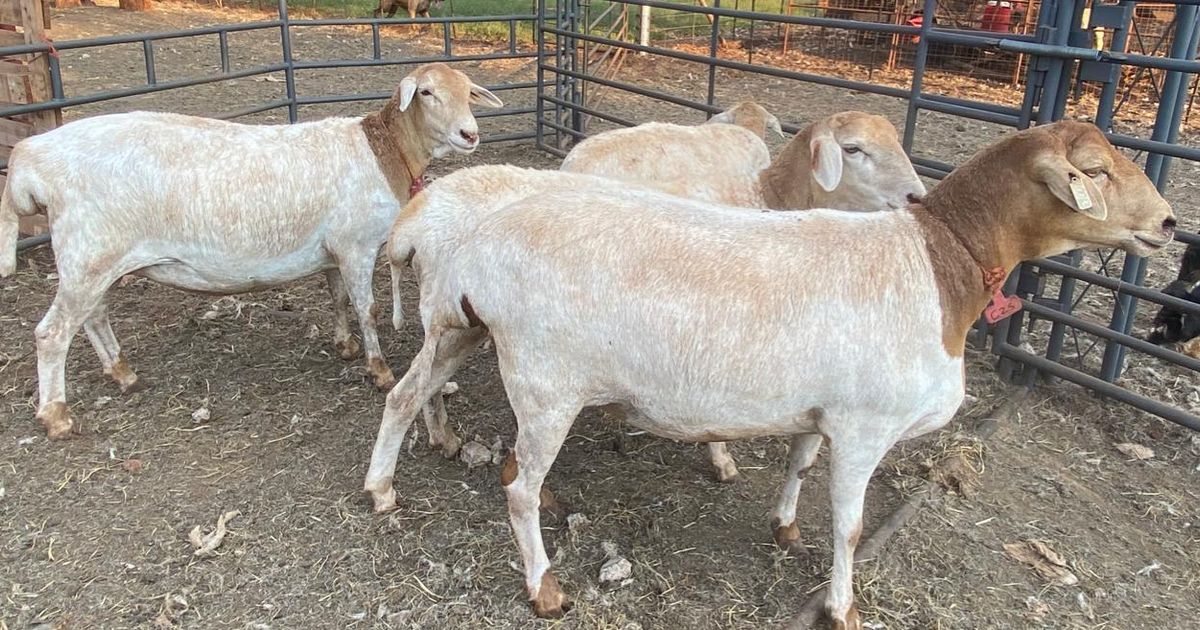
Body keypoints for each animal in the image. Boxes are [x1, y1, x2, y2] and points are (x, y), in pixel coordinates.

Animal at [0, 62, 503, 440]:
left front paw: (343, 344)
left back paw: (122, 372)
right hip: (88, 252)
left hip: (94, 258)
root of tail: (29, 157)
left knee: (94, 316)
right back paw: (57, 415)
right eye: (426, 92)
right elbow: (369, 309)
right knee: (52, 333)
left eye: (469, 93)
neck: (385, 152)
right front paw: (377, 368)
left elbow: (338, 297)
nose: (470, 135)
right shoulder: (356, 244)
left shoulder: (333, 249)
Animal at [363, 121, 1175, 627]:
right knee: (516, 486)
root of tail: (473, 242)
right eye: (1095, 172)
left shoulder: (827, 411)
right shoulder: (866, 425)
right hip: (545, 380)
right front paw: (844, 608)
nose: (1168, 225)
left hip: (462, 329)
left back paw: (382, 488)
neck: (937, 265)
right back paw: (545, 590)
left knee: (406, 394)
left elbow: (800, 461)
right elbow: (850, 525)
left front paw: (784, 527)